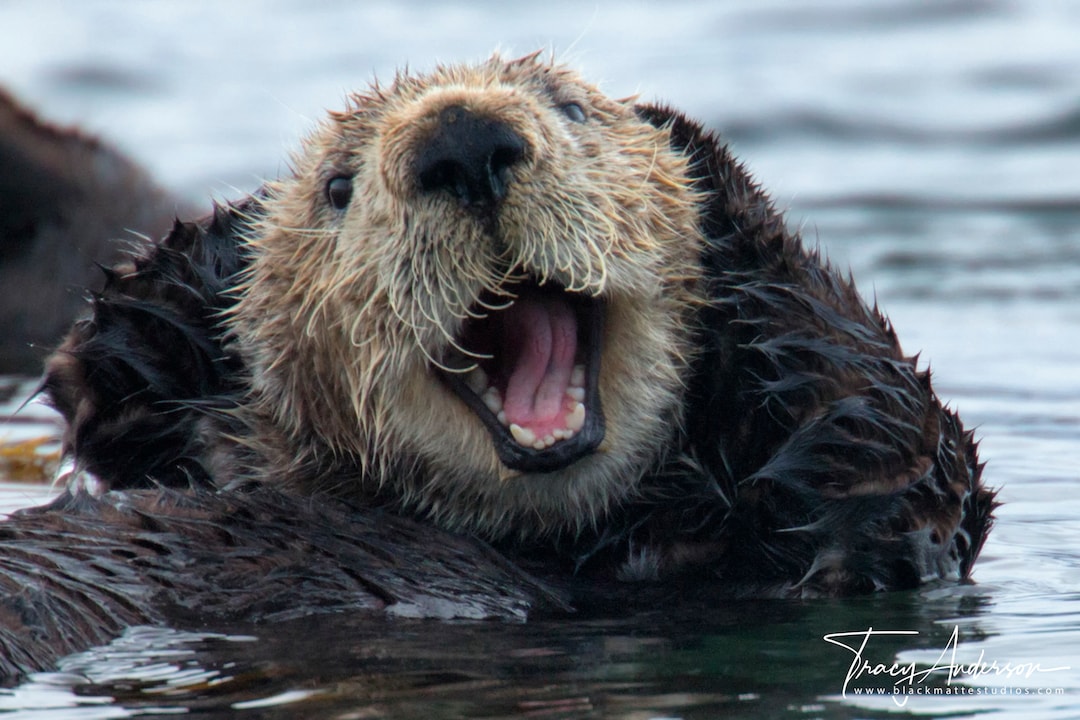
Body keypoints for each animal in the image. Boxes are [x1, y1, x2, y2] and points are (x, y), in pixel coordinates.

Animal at [5, 52, 994, 677]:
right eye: (337, 187)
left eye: (572, 108)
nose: (463, 139)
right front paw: (206, 258)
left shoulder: (843, 531)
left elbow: (902, 471)